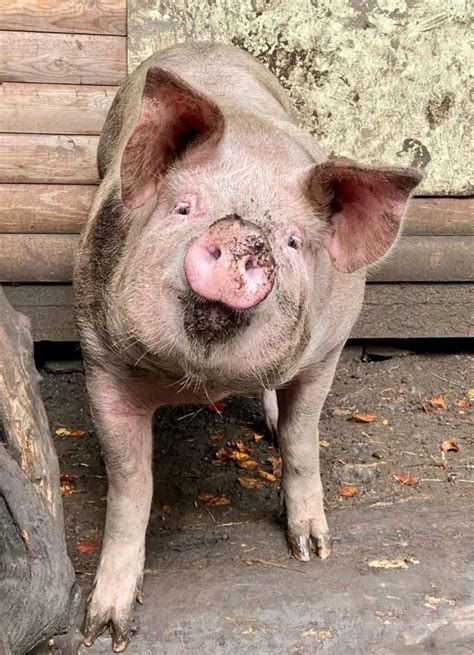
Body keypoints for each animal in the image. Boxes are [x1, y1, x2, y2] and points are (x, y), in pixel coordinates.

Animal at [74, 41, 422, 651]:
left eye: (292, 242)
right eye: (184, 208)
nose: (243, 235)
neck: (202, 381)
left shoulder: (328, 350)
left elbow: (303, 441)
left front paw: (313, 552)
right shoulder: (101, 358)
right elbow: (131, 486)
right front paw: (105, 630)